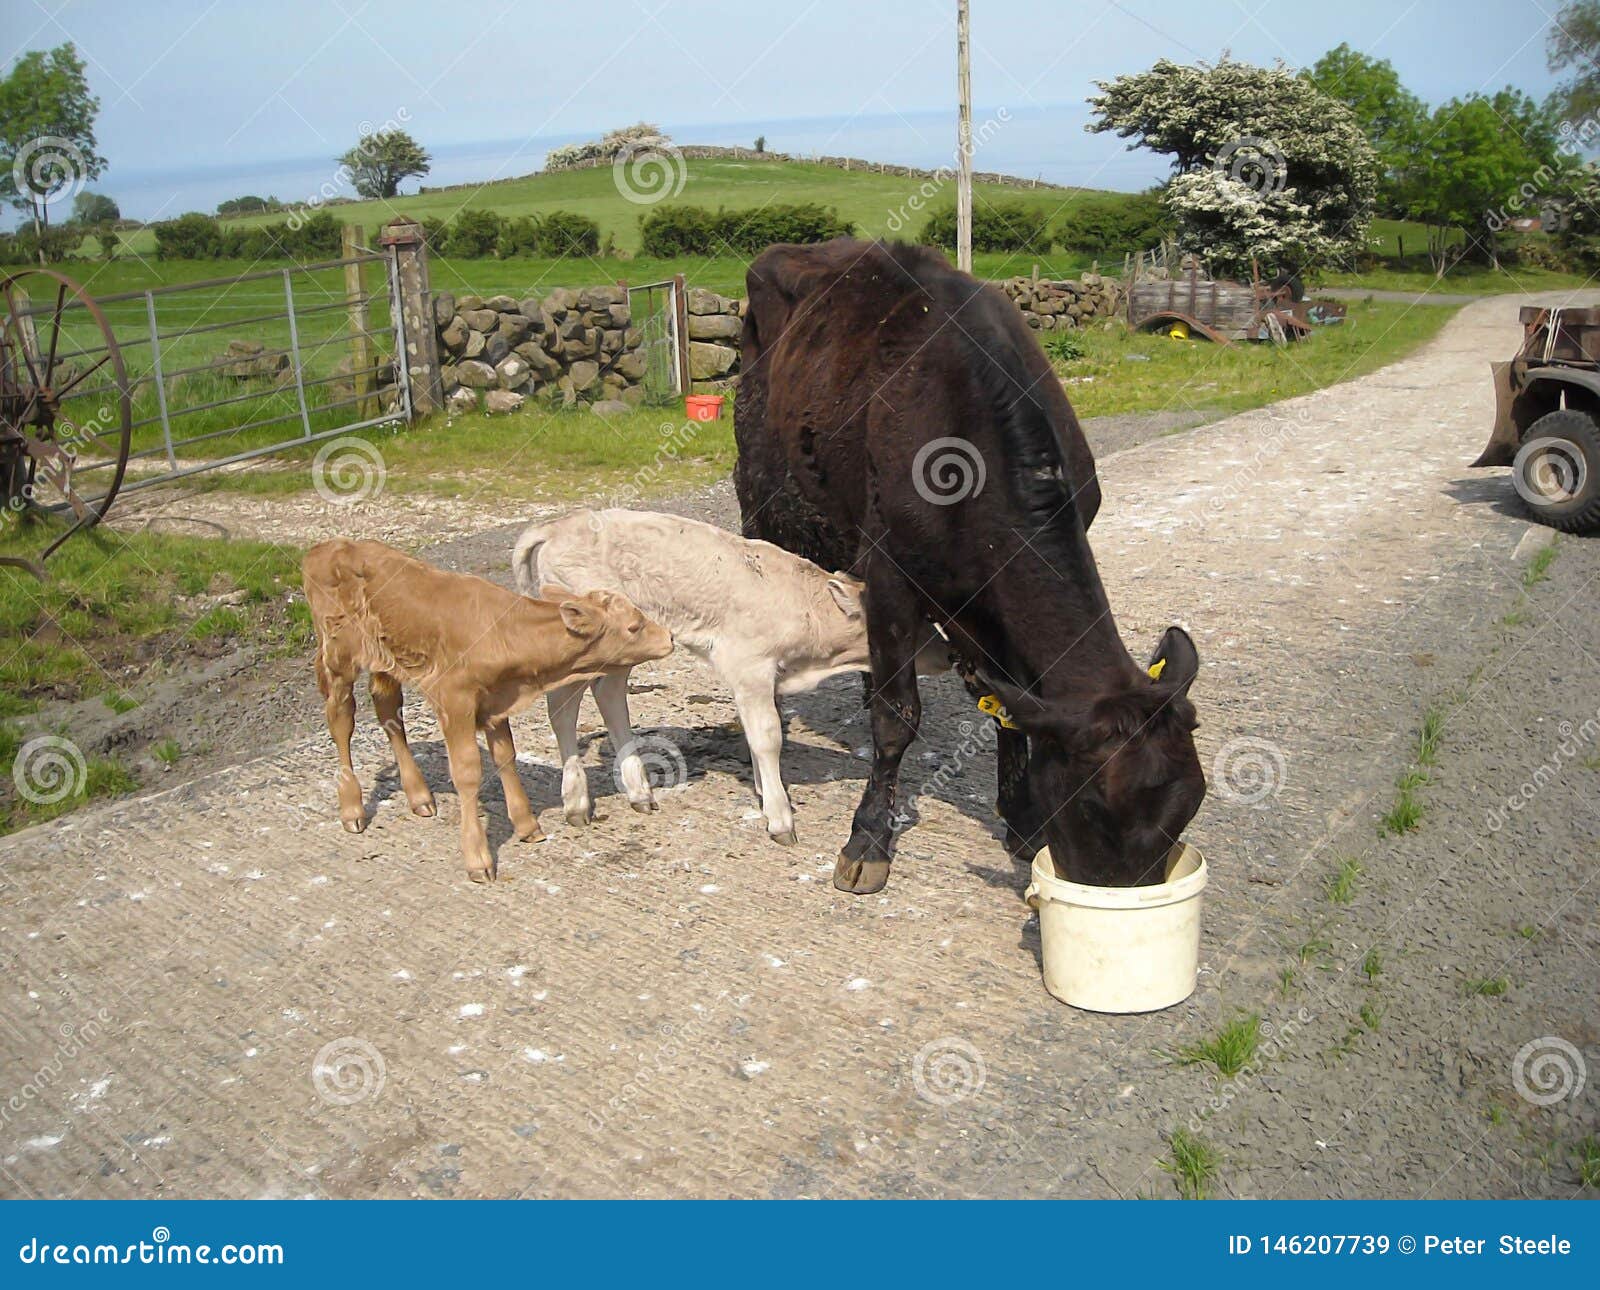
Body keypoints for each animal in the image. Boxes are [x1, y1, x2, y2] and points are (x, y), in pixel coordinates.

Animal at [302, 538, 673, 882]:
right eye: (634, 626)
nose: (669, 636)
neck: (505, 631)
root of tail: (326, 546)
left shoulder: (497, 699)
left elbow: (506, 756)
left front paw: (526, 825)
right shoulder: (455, 700)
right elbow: (468, 772)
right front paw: (478, 857)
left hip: (387, 660)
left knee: (388, 711)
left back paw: (419, 796)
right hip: (339, 656)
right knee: (341, 719)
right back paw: (352, 809)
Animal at [512, 508, 951, 844]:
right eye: (910, 625)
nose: (948, 654)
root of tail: (555, 526)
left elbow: (756, 732)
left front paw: (762, 789)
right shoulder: (751, 666)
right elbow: (768, 736)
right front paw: (780, 817)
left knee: (609, 696)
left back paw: (639, 790)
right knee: (562, 708)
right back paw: (576, 801)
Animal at [733, 238, 1205, 894]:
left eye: (1190, 805)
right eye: (1089, 806)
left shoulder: (990, 601)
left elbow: (1008, 709)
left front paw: (1022, 820)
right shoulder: (890, 570)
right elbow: (897, 718)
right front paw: (868, 839)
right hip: (760, 496)